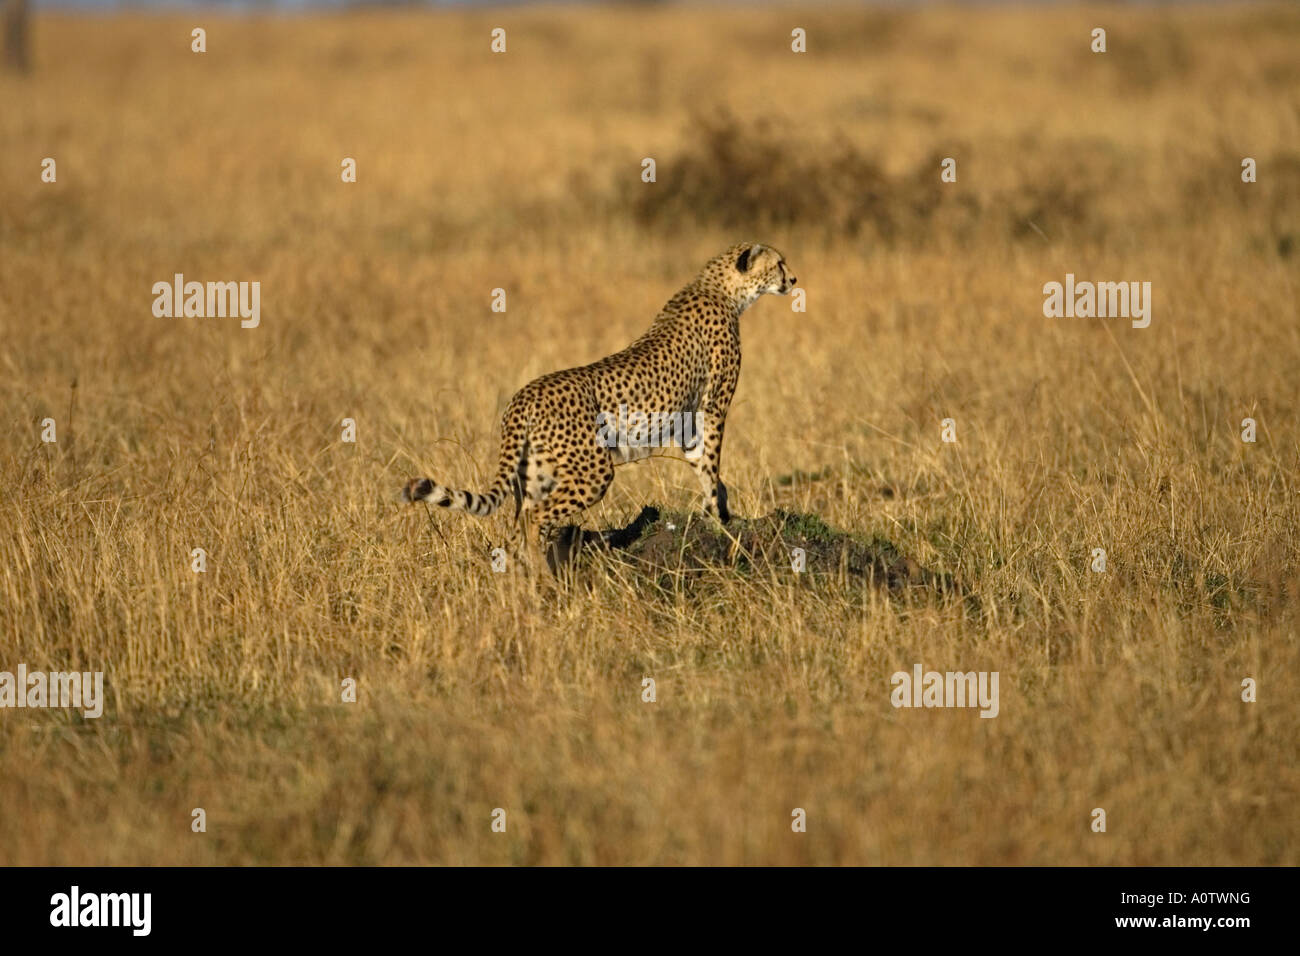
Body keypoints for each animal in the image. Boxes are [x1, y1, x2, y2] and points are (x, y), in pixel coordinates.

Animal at [402, 241, 798, 567]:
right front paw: (718, 517)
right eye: (778, 263)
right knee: (534, 518)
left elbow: (702, 463)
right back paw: (541, 577)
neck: (720, 287)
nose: (793, 278)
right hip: (593, 470)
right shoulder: (713, 408)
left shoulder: (689, 419)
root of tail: (524, 394)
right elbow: (711, 465)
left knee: (518, 524)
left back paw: (520, 582)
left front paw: (721, 509)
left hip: (536, 472)